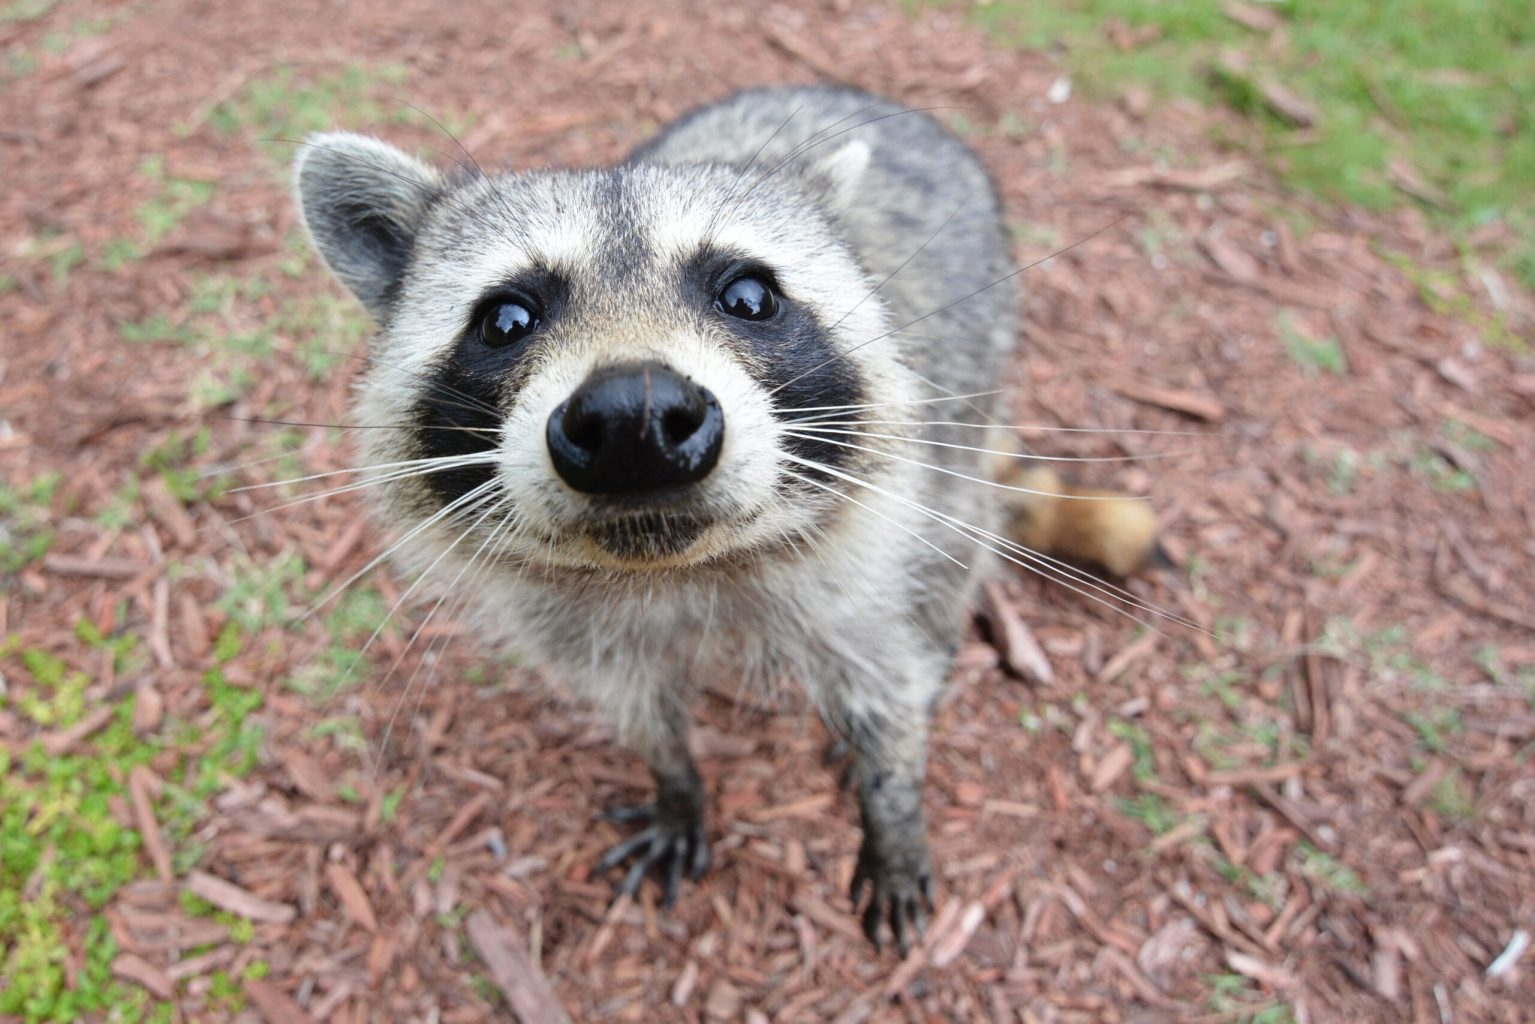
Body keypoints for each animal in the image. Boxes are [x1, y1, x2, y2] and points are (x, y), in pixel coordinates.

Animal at [292, 85, 1155, 952]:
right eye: (505, 320)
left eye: (748, 297)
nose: (633, 418)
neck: (674, 568)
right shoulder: (570, 623)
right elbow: (635, 703)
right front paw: (675, 778)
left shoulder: (872, 544)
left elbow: (883, 669)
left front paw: (892, 799)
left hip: (970, 399)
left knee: (947, 558)